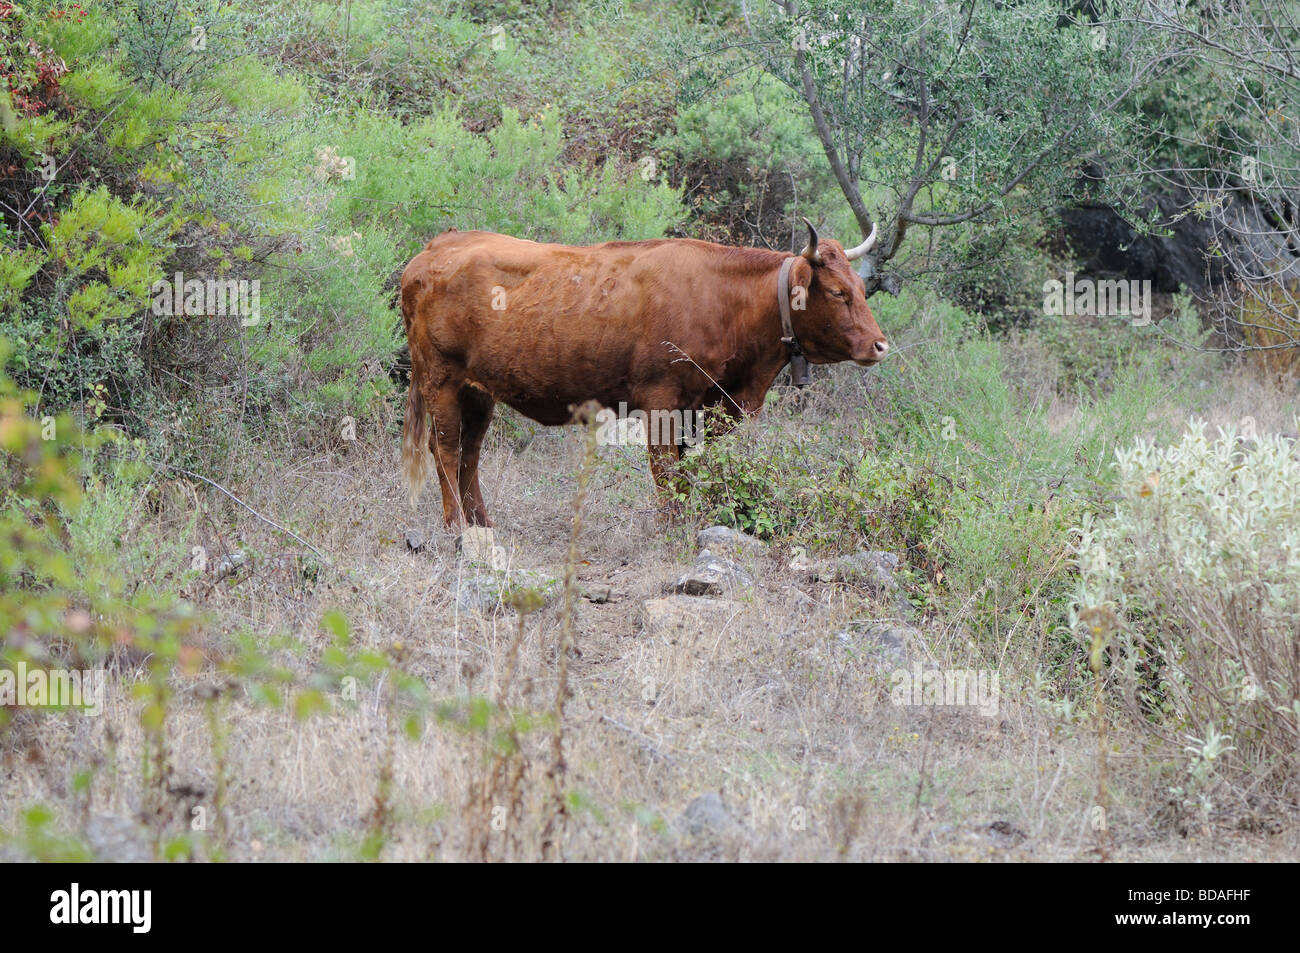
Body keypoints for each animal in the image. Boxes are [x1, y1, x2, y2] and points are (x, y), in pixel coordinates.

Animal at [400, 219, 887, 529]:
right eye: (838, 292)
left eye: (863, 288)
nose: (880, 345)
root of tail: (433, 249)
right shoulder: (660, 401)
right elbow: (666, 471)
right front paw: (669, 530)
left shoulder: (704, 406)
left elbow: (689, 471)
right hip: (440, 380)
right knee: (445, 449)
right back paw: (456, 528)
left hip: (479, 391)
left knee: (470, 452)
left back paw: (482, 523)